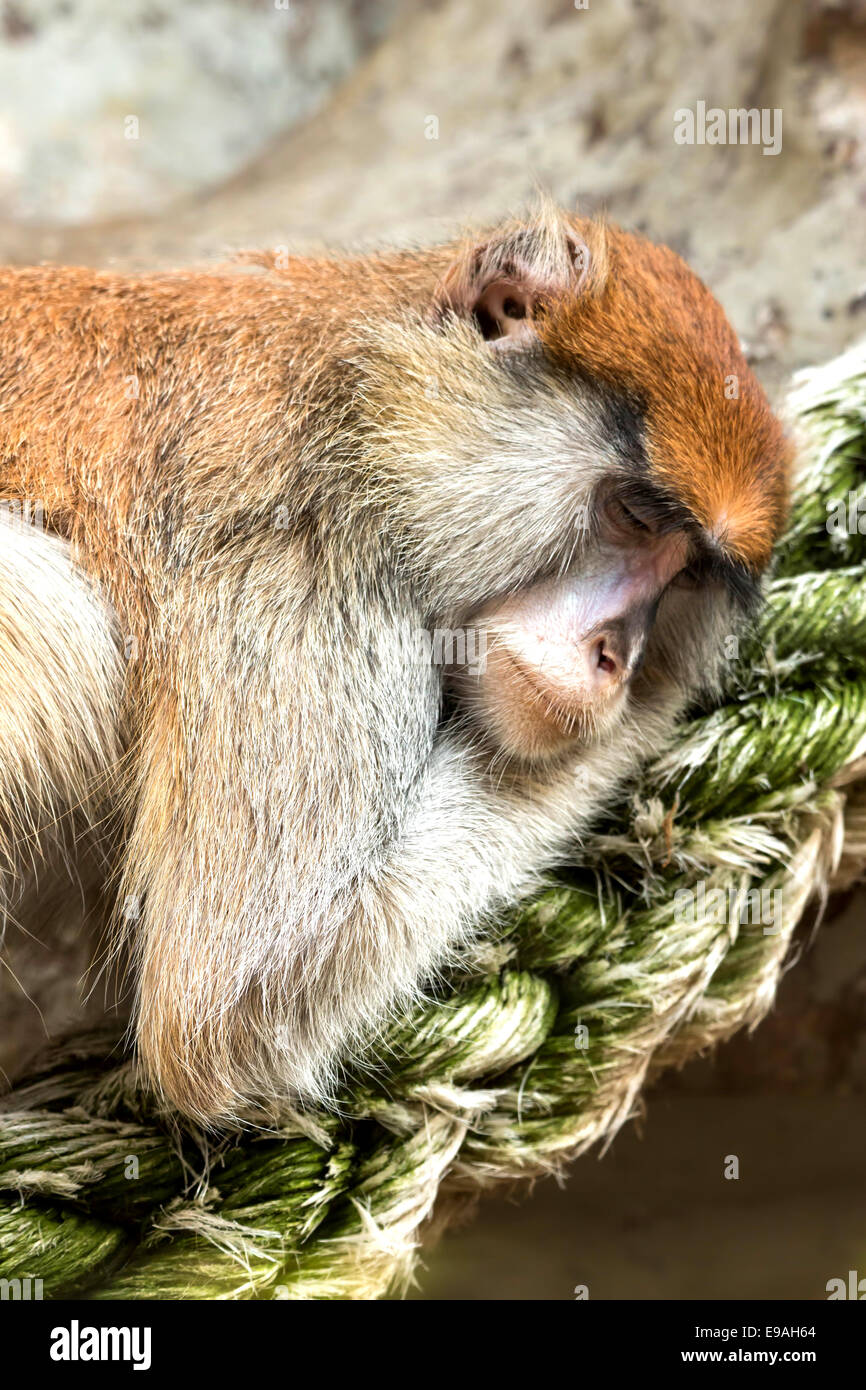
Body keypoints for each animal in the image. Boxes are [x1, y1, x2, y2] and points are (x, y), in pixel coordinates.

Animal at [0, 205, 790, 1125]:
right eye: (635, 512)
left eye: (691, 573)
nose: (615, 655)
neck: (367, 399)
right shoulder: (299, 563)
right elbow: (239, 998)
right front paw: (655, 711)